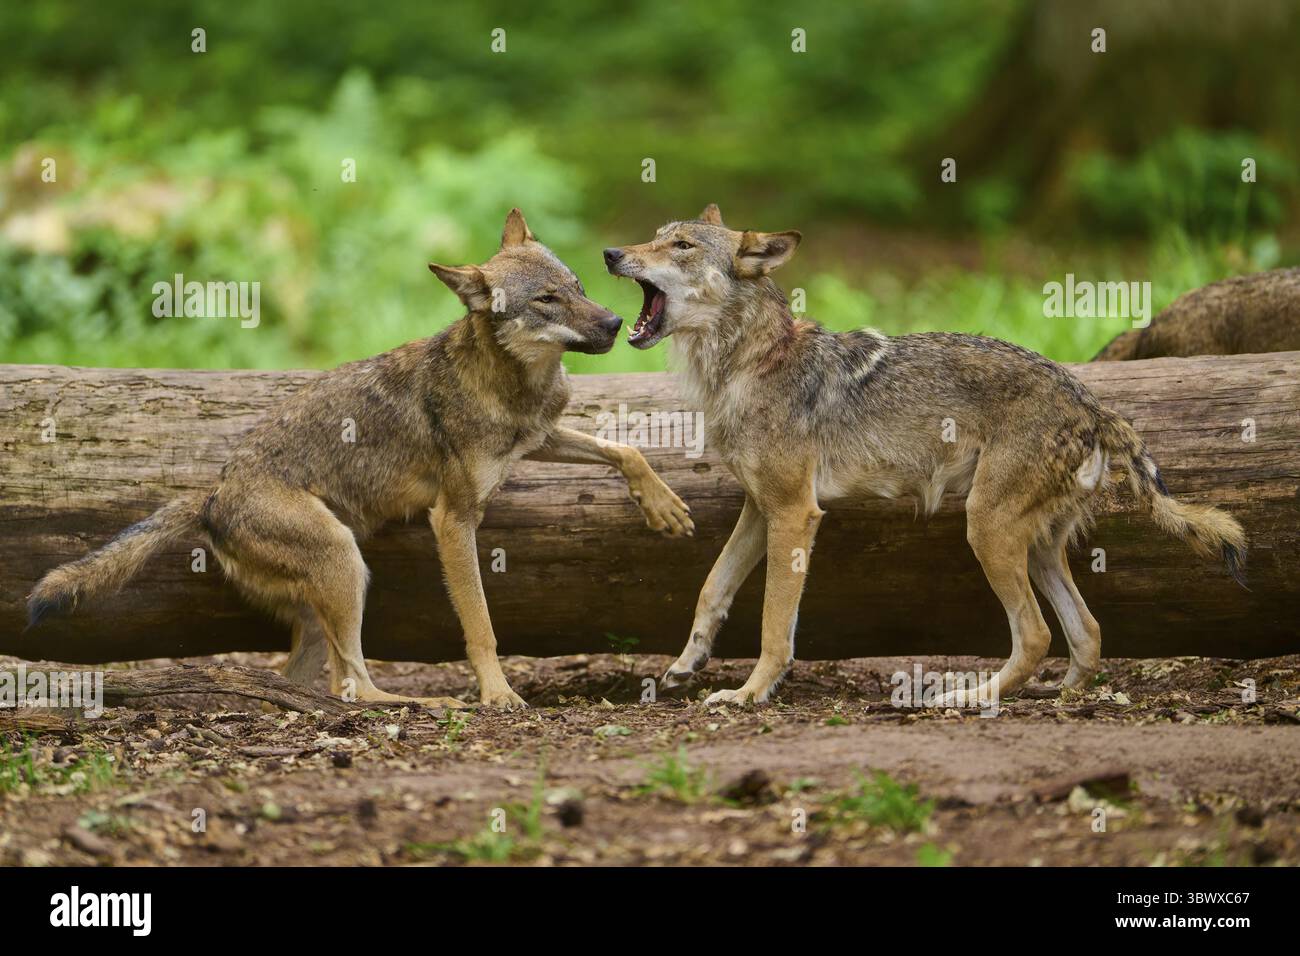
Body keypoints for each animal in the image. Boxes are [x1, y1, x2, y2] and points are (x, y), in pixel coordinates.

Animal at [28, 209, 693, 710]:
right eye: (548, 300)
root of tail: (212, 493)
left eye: (578, 285)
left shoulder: (542, 438)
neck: (518, 386)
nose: (614, 322)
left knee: (312, 681)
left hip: (329, 595)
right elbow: (480, 624)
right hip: (347, 566)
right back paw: (425, 702)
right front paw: (497, 694)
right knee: (354, 685)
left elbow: (624, 448)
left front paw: (664, 507)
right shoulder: (453, 521)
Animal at [605, 204, 1245, 707]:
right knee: (1086, 633)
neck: (744, 366)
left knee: (1037, 635)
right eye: (655, 235)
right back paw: (1055, 694)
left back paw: (968, 697)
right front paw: (687, 665)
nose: (611, 253)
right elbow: (712, 587)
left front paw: (749, 693)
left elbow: (772, 623)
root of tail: (1089, 402)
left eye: (681, 246)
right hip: (1034, 546)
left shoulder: (794, 513)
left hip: (986, 527)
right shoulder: (760, 509)